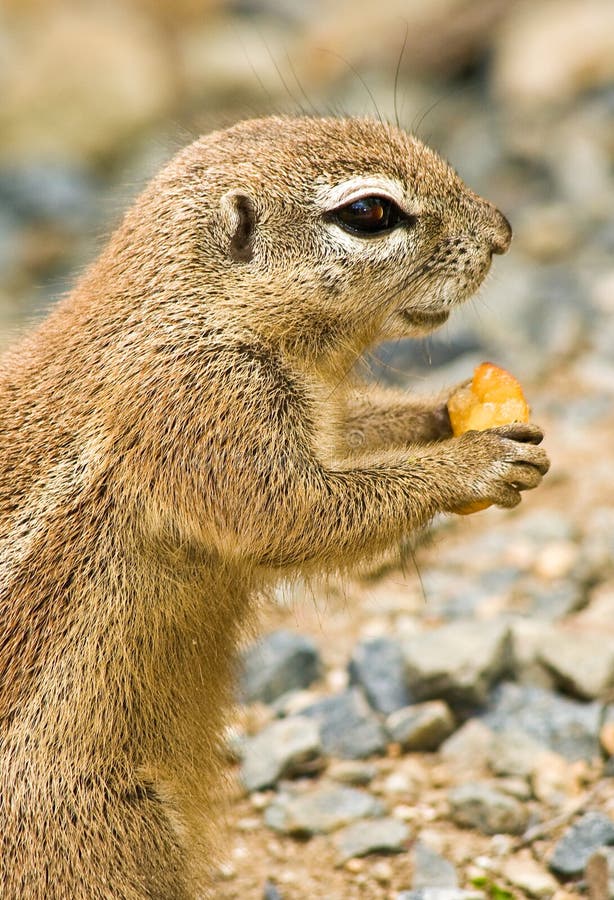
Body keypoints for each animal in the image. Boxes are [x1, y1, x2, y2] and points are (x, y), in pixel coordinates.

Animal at [0, 116, 549, 898]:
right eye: (370, 213)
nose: (503, 232)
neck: (195, 308)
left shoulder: (309, 415)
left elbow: (350, 438)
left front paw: (446, 411)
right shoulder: (205, 406)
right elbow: (294, 513)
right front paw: (473, 461)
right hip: (91, 835)